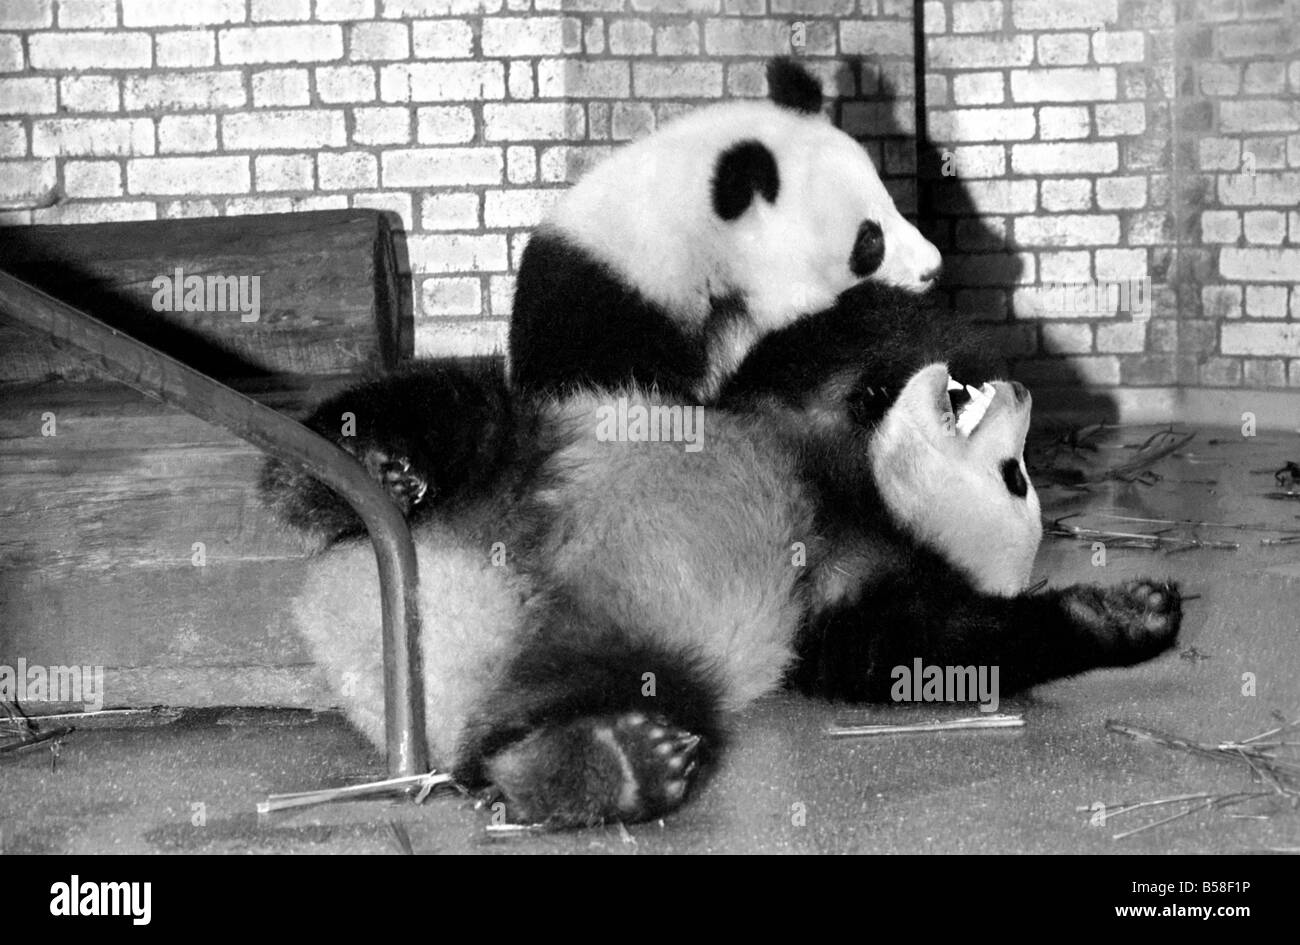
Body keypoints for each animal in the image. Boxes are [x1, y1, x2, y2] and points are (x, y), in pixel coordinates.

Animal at [286, 359, 1182, 828]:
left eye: (1017, 476)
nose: (1023, 393)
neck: (872, 497)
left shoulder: (839, 602)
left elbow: (918, 651)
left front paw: (1129, 612)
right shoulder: (777, 426)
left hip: (628, 647)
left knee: (547, 714)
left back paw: (606, 762)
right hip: (541, 446)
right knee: (462, 406)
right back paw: (367, 467)